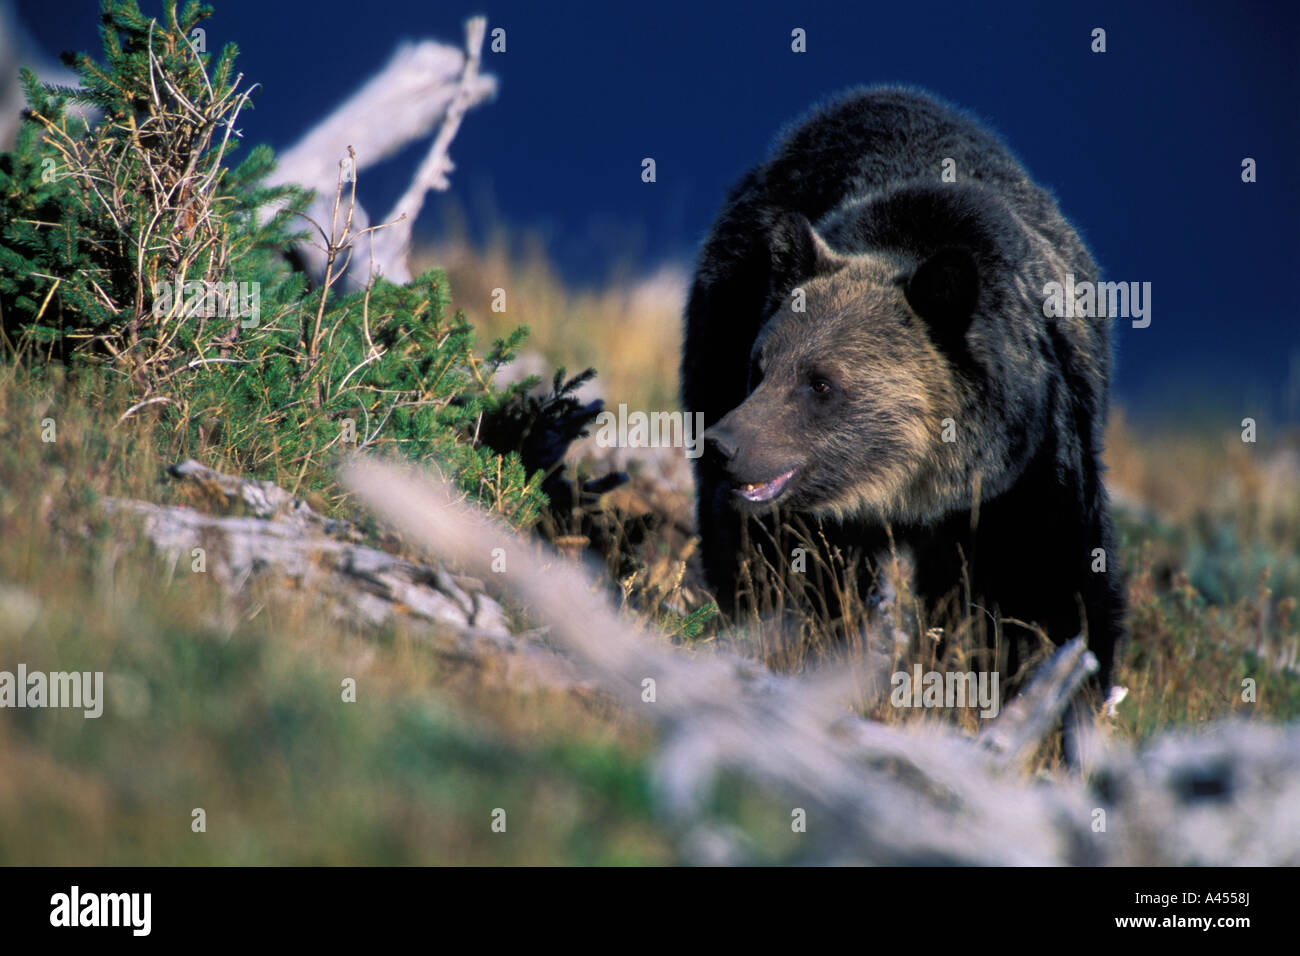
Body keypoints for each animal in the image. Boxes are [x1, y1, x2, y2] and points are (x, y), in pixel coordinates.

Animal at [681, 86, 1125, 700]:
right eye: (761, 365)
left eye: (821, 382)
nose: (724, 444)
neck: (916, 494)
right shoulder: (812, 525)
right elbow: (795, 585)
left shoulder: (1027, 479)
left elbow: (1059, 598)